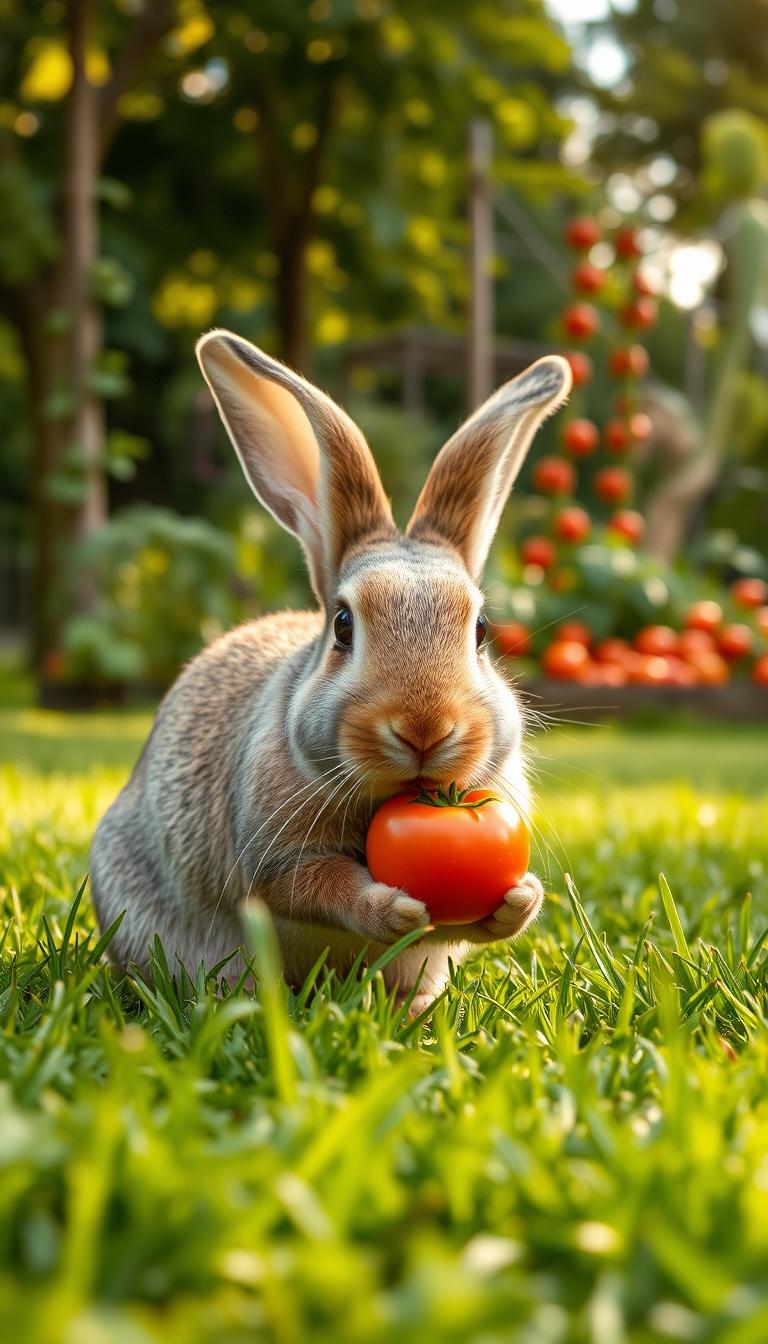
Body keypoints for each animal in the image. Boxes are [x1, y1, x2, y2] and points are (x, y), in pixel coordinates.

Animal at [90, 330, 571, 1011]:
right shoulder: (274, 856)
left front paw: (522, 900)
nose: (424, 729)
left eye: (480, 631)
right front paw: (392, 910)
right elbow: (313, 886)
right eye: (344, 625)